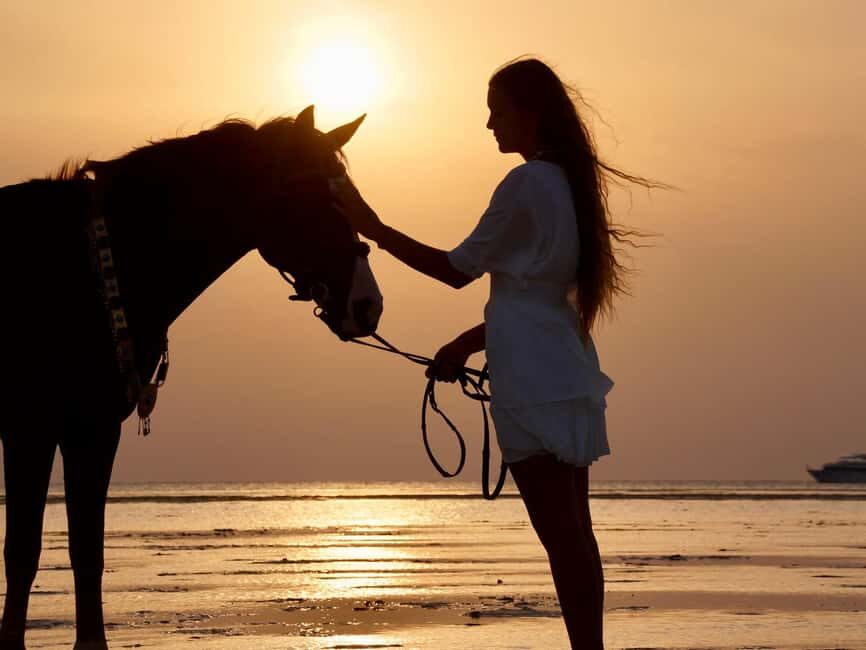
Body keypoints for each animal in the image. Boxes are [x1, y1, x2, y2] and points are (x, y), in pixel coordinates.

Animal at [0, 105, 382, 649]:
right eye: (312, 193)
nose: (368, 305)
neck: (88, 268)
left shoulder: (91, 429)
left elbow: (85, 551)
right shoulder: (35, 427)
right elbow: (26, 551)